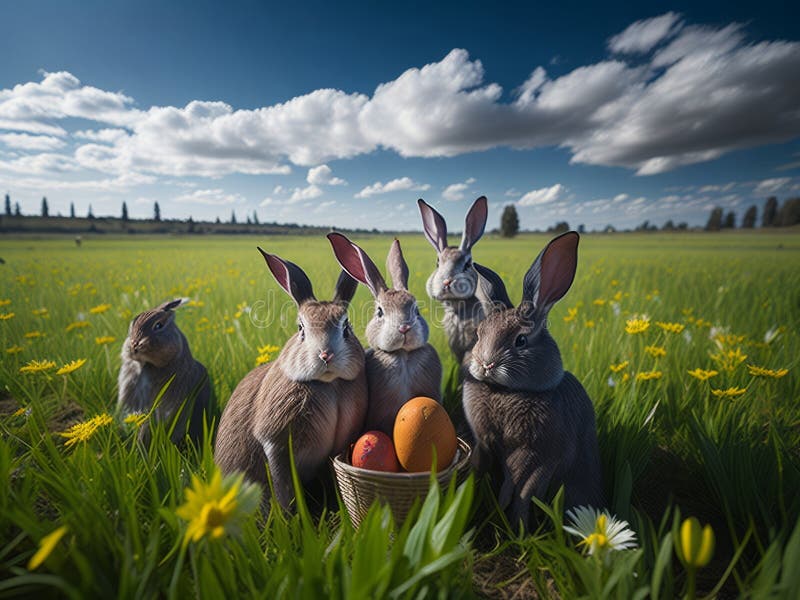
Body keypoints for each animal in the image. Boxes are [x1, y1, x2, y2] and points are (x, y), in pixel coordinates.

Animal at [214, 249, 367, 510]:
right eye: (300, 328)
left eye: (346, 327)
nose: (326, 355)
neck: (329, 383)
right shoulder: (275, 443)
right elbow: (282, 484)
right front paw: (289, 515)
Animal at [462, 231, 603, 531]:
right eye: (479, 334)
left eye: (521, 340)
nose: (486, 364)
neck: (505, 391)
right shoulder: (486, 442)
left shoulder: (540, 455)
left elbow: (521, 484)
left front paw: (512, 520)